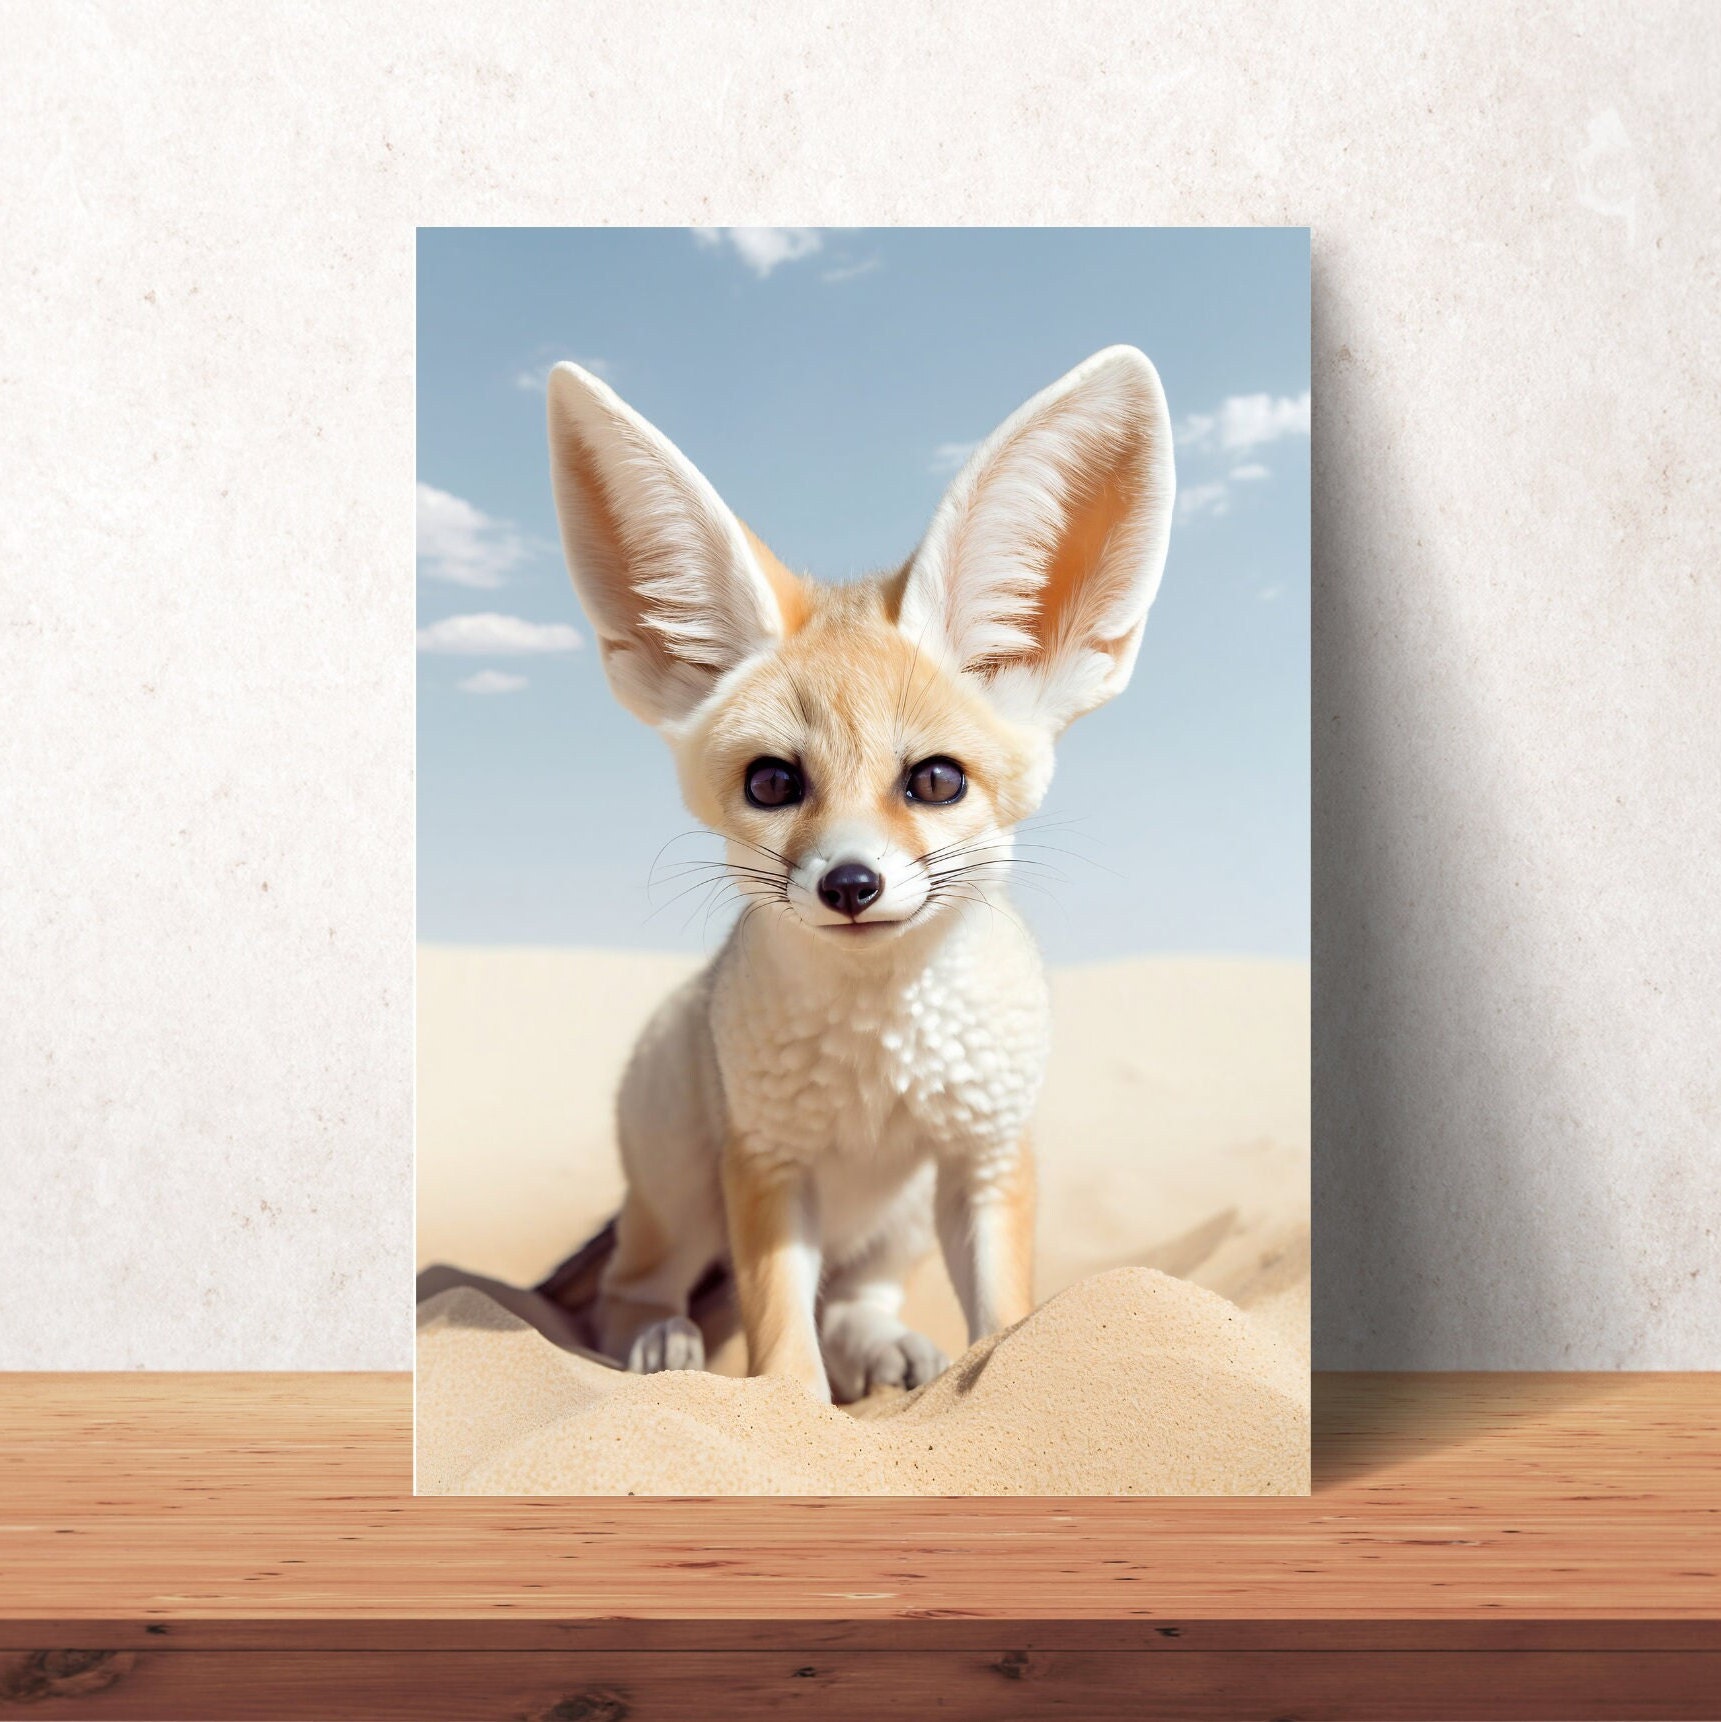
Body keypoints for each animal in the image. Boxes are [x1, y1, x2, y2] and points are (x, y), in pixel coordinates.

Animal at [538, 345, 1175, 1404]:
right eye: (772, 783)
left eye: (934, 781)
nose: (848, 885)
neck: (878, 1060)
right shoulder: (765, 1161)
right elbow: (781, 1350)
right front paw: (785, 1418)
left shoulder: (986, 1152)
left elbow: (1004, 1323)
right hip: (683, 1179)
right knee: (628, 1287)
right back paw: (660, 1340)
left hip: (898, 1219)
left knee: (852, 1302)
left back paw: (882, 1346)